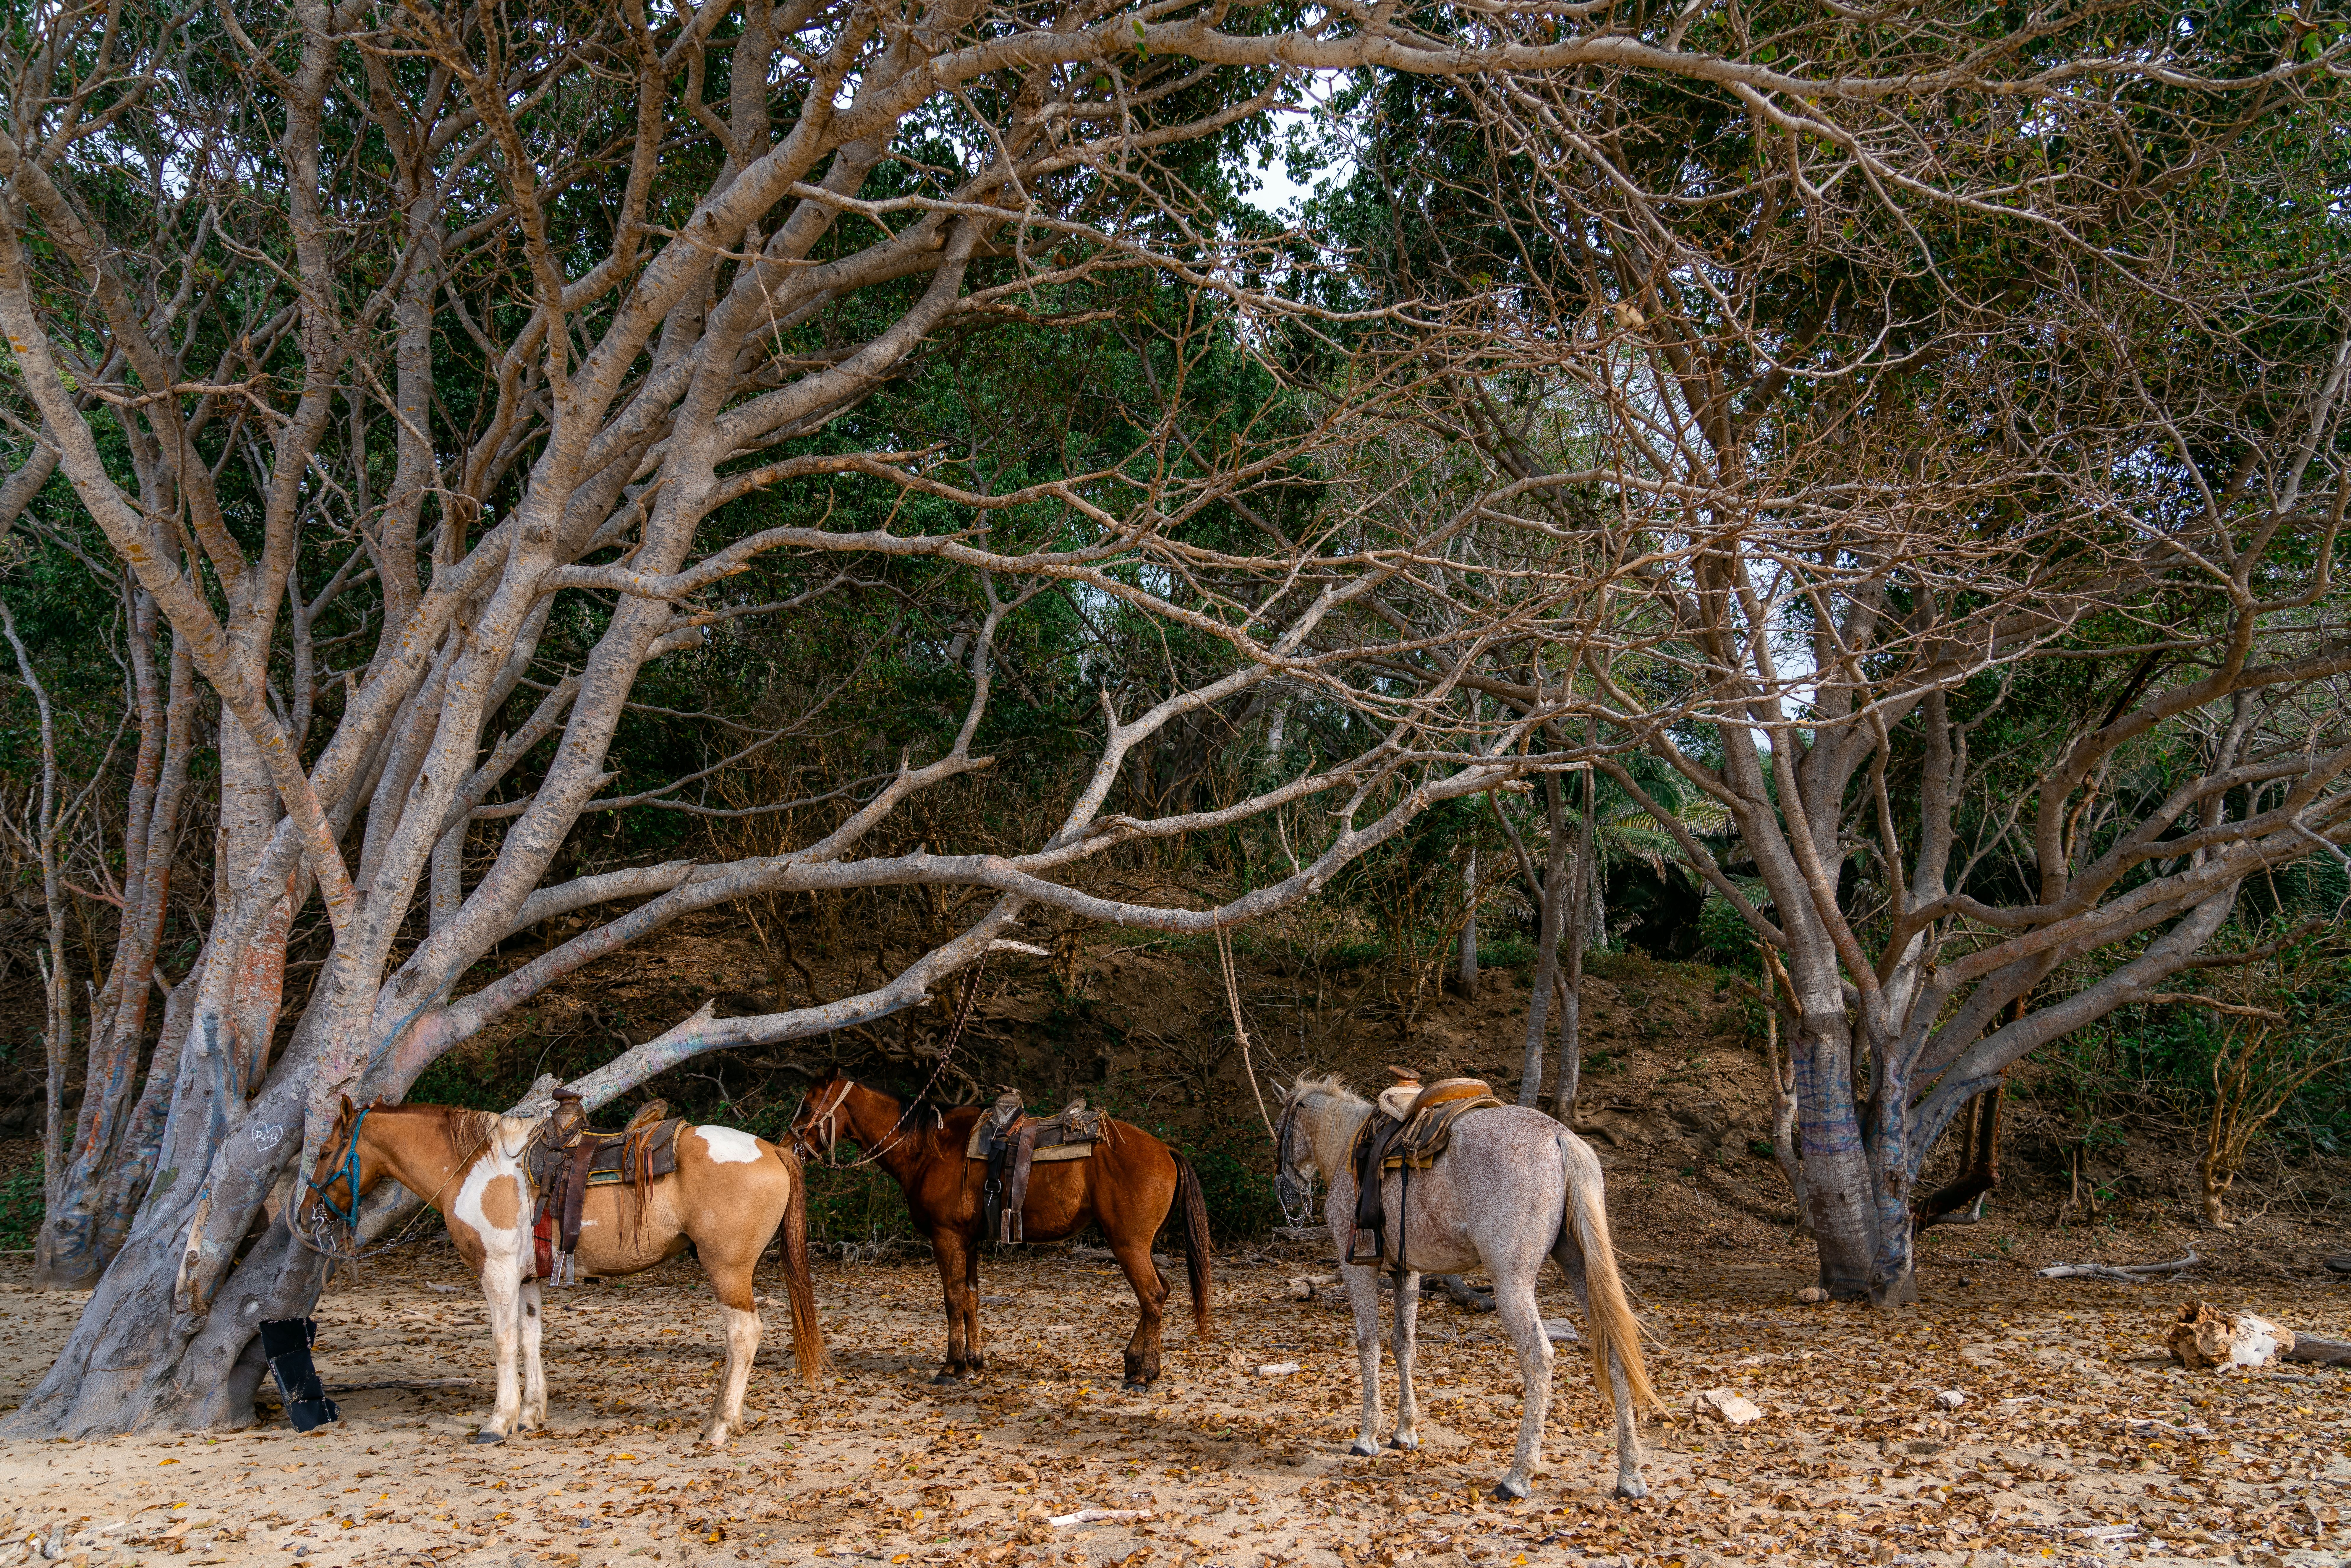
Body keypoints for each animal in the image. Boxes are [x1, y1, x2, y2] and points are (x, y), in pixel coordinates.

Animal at [299, 1096, 823, 1446]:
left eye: (324, 1153)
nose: (305, 1214)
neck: (475, 1168)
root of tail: (773, 1150)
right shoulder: (527, 1279)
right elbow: (531, 1338)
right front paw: (530, 1415)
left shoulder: (497, 1273)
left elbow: (504, 1342)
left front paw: (498, 1422)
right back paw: (723, 1418)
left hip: (727, 1272)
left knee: (745, 1334)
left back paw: (719, 1425)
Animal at [787, 1072, 1211, 1391]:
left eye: (807, 1106)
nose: (788, 1144)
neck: (931, 1147)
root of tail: (1166, 1150)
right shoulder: (967, 1242)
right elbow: (971, 1299)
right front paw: (974, 1361)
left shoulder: (947, 1239)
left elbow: (953, 1300)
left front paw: (952, 1367)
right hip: (1138, 1245)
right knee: (1159, 1293)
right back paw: (1134, 1362)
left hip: (1128, 1244)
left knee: (1152, 1296)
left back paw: (1145, 1374)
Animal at [1272, 1074, 1658, 1501]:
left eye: (1280, 1127)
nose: (1285, 1190)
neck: (1347, 1148)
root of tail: (1561, 1137)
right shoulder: (1406, 1272)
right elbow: (1403, 1344)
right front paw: (1404, 1432)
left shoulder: (1356, 1268)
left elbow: (1368, 1345)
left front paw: (1367, 1436)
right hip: (1580, 1268)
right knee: (1614, 1351)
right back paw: (1630, 1475)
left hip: (1511, 1283)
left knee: (1539, 1359)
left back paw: (1517, 1477)